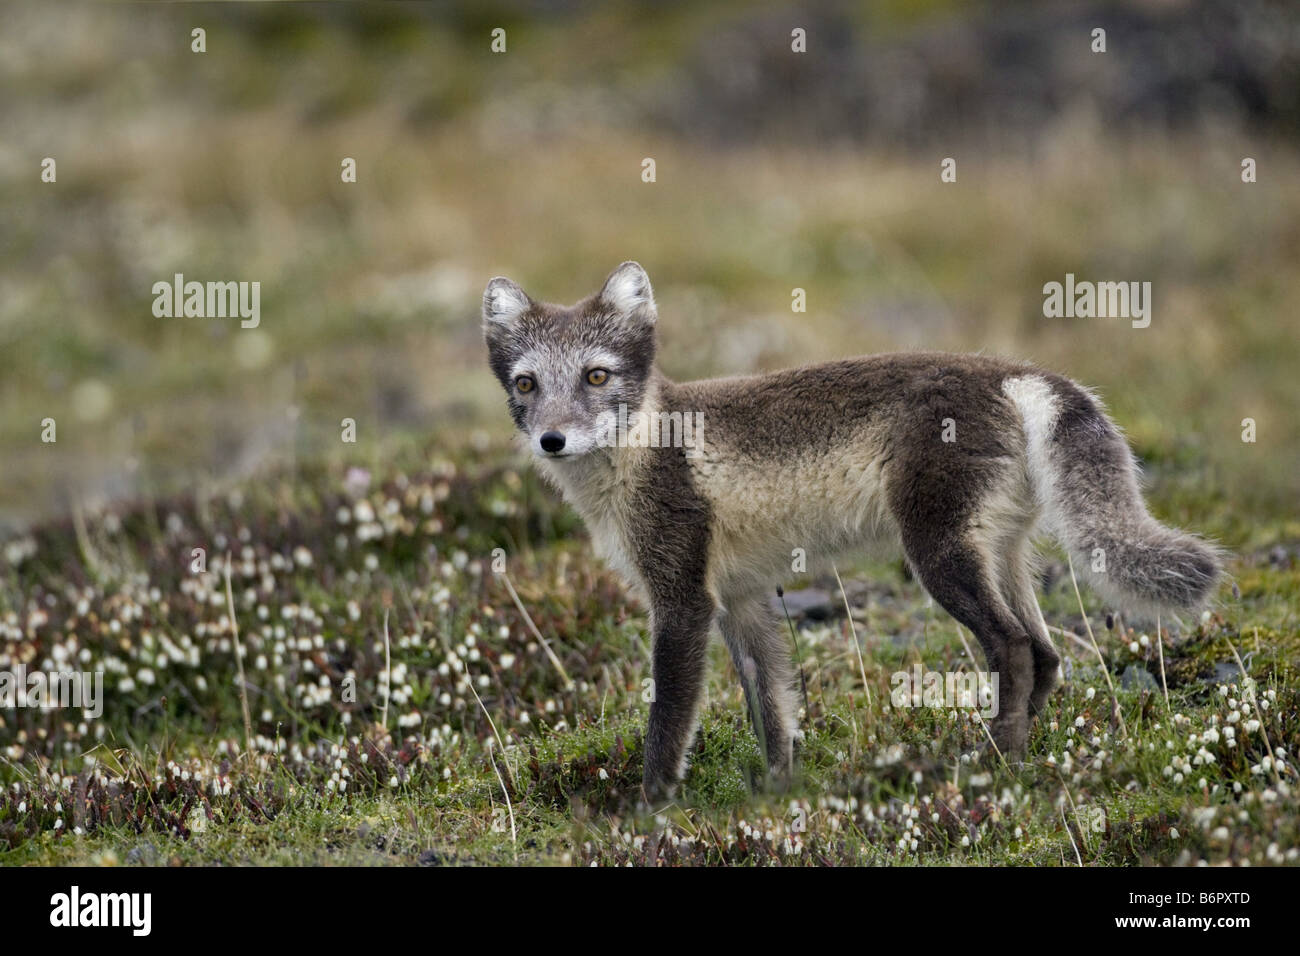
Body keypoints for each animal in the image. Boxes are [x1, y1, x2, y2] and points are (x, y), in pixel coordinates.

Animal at [482, 261, 1223, 801]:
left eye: (595, 375)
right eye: (526, 384)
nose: (551, 440)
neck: (640, 449)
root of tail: (1018, 374)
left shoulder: (683, 600)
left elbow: (669, 720)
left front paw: (649, 809)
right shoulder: (742, 598)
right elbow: (772, 705)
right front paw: (777, 793)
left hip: (938, 553)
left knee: (1012, 649)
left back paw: (993, 760)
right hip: (999, 551)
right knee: (1045, 653)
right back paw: (1022, 749)